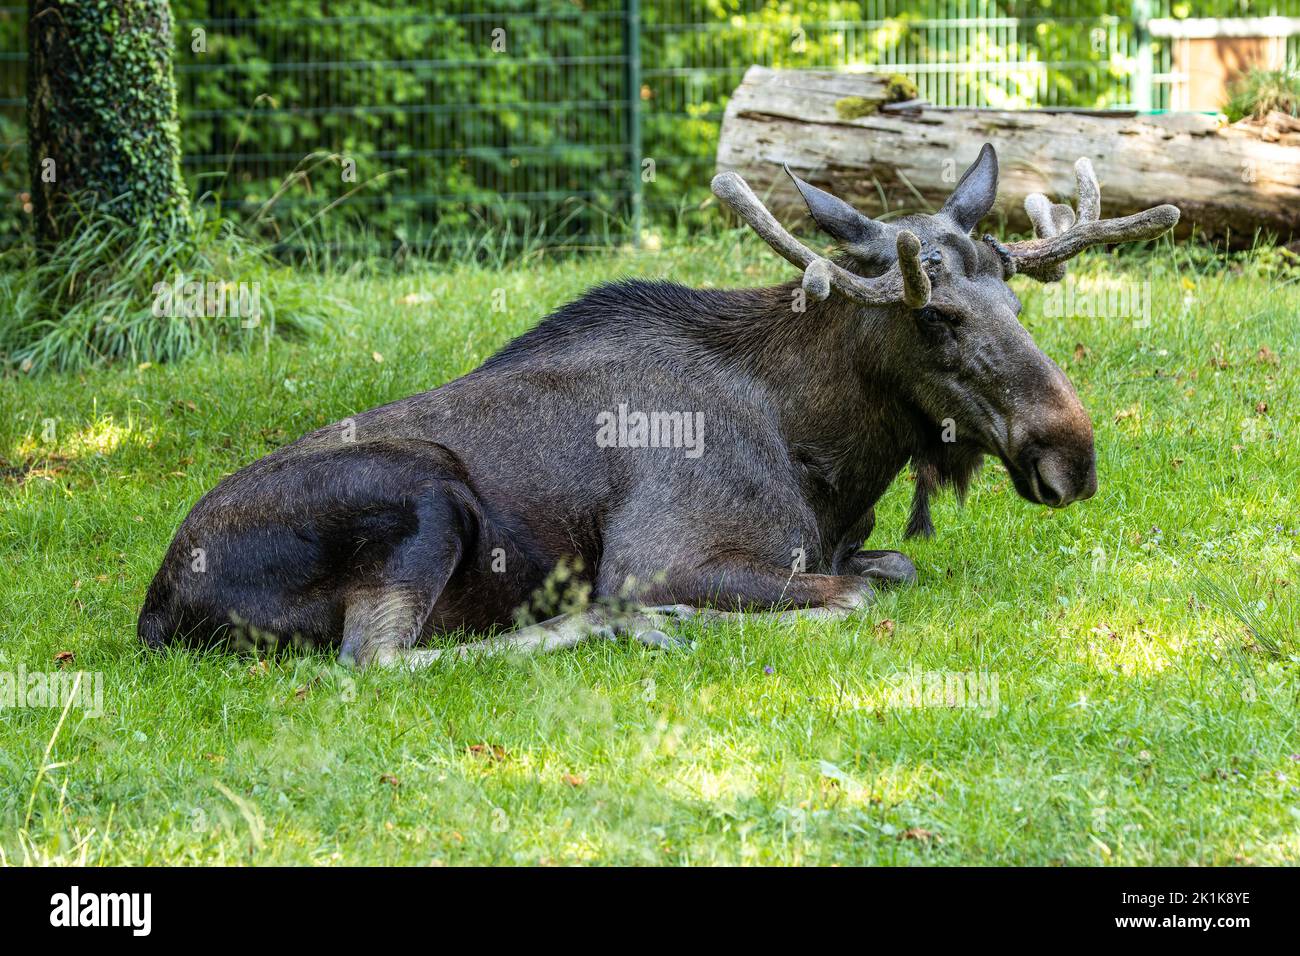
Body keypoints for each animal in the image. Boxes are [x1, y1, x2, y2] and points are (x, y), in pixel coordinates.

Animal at [138, 144, 1179, 667]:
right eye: (934, 316)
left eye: (1016, 300)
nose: (1071, 455)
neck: (826, 458)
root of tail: (156, 609)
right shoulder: (664, 554)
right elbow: (854, 595)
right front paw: (660, 617)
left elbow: (892, 568)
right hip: (426, 498)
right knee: (376, 660)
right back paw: (612, 627)